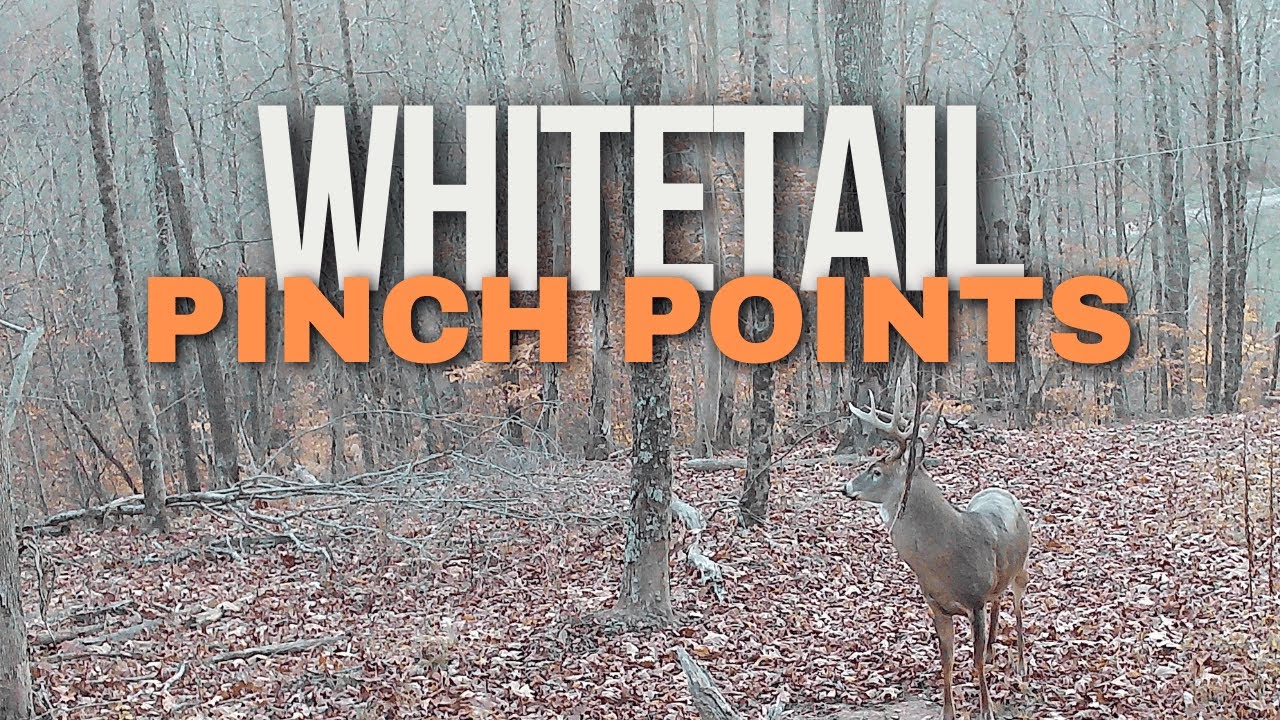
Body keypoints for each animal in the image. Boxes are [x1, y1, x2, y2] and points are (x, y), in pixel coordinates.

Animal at [840, 385, 1031, 720]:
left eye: (876, 471)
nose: (846, 488)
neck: (944, 559)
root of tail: (1004, 491)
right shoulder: (936, 606)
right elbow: (948, 660)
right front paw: (947, 712)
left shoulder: (975, 601)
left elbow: (974, 660)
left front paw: (987, 709)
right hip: (999, 580)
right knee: (999, 600)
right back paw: (994, 652)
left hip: (1023, 567)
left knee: (1019, 610)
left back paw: (1020, 665)